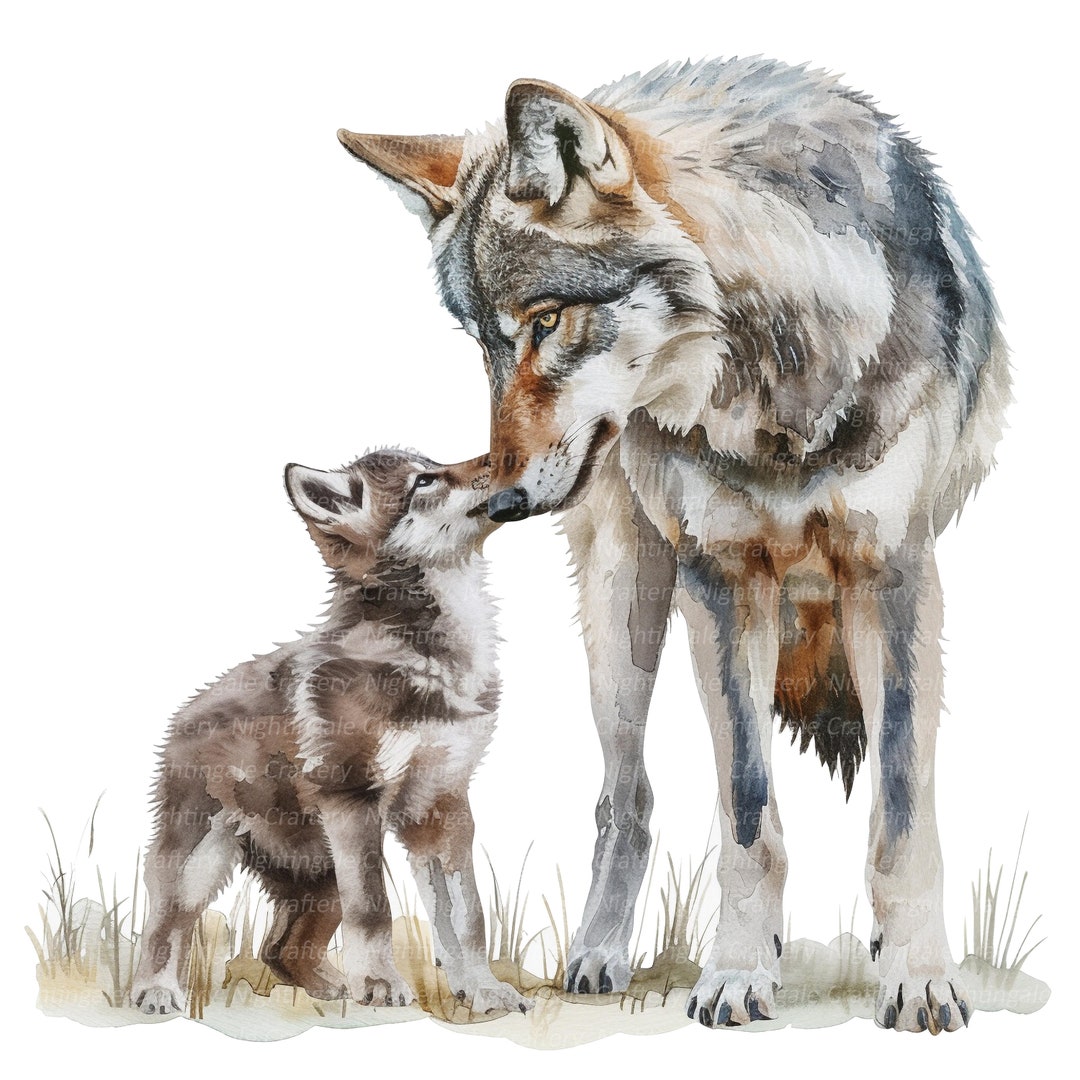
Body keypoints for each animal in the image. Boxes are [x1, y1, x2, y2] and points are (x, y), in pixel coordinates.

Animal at [132, 449, 529, 1017]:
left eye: (434, 464)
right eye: (424, 481)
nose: (506, 457)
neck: (426, 659)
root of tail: (181, 716)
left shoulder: (439, 807)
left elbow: (467, 917)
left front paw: (482, 989)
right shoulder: (353, 800)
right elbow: (376, 911)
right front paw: (382, 983)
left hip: (322, 875)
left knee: (278, 948)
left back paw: (331, 987)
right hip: (204, 861)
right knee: (168, 922)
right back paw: (156, 991)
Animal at [337, 56, 1010, 1033]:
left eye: (546, 322)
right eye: (484, 343)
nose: (498, 496)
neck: (778, 393)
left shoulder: (895, 574)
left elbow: (901, 812)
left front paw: (919, 977)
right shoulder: (721, 583)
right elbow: (747, 810)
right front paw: (737, 972)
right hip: (626, 609)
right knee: (625, 798)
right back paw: (598, 955)